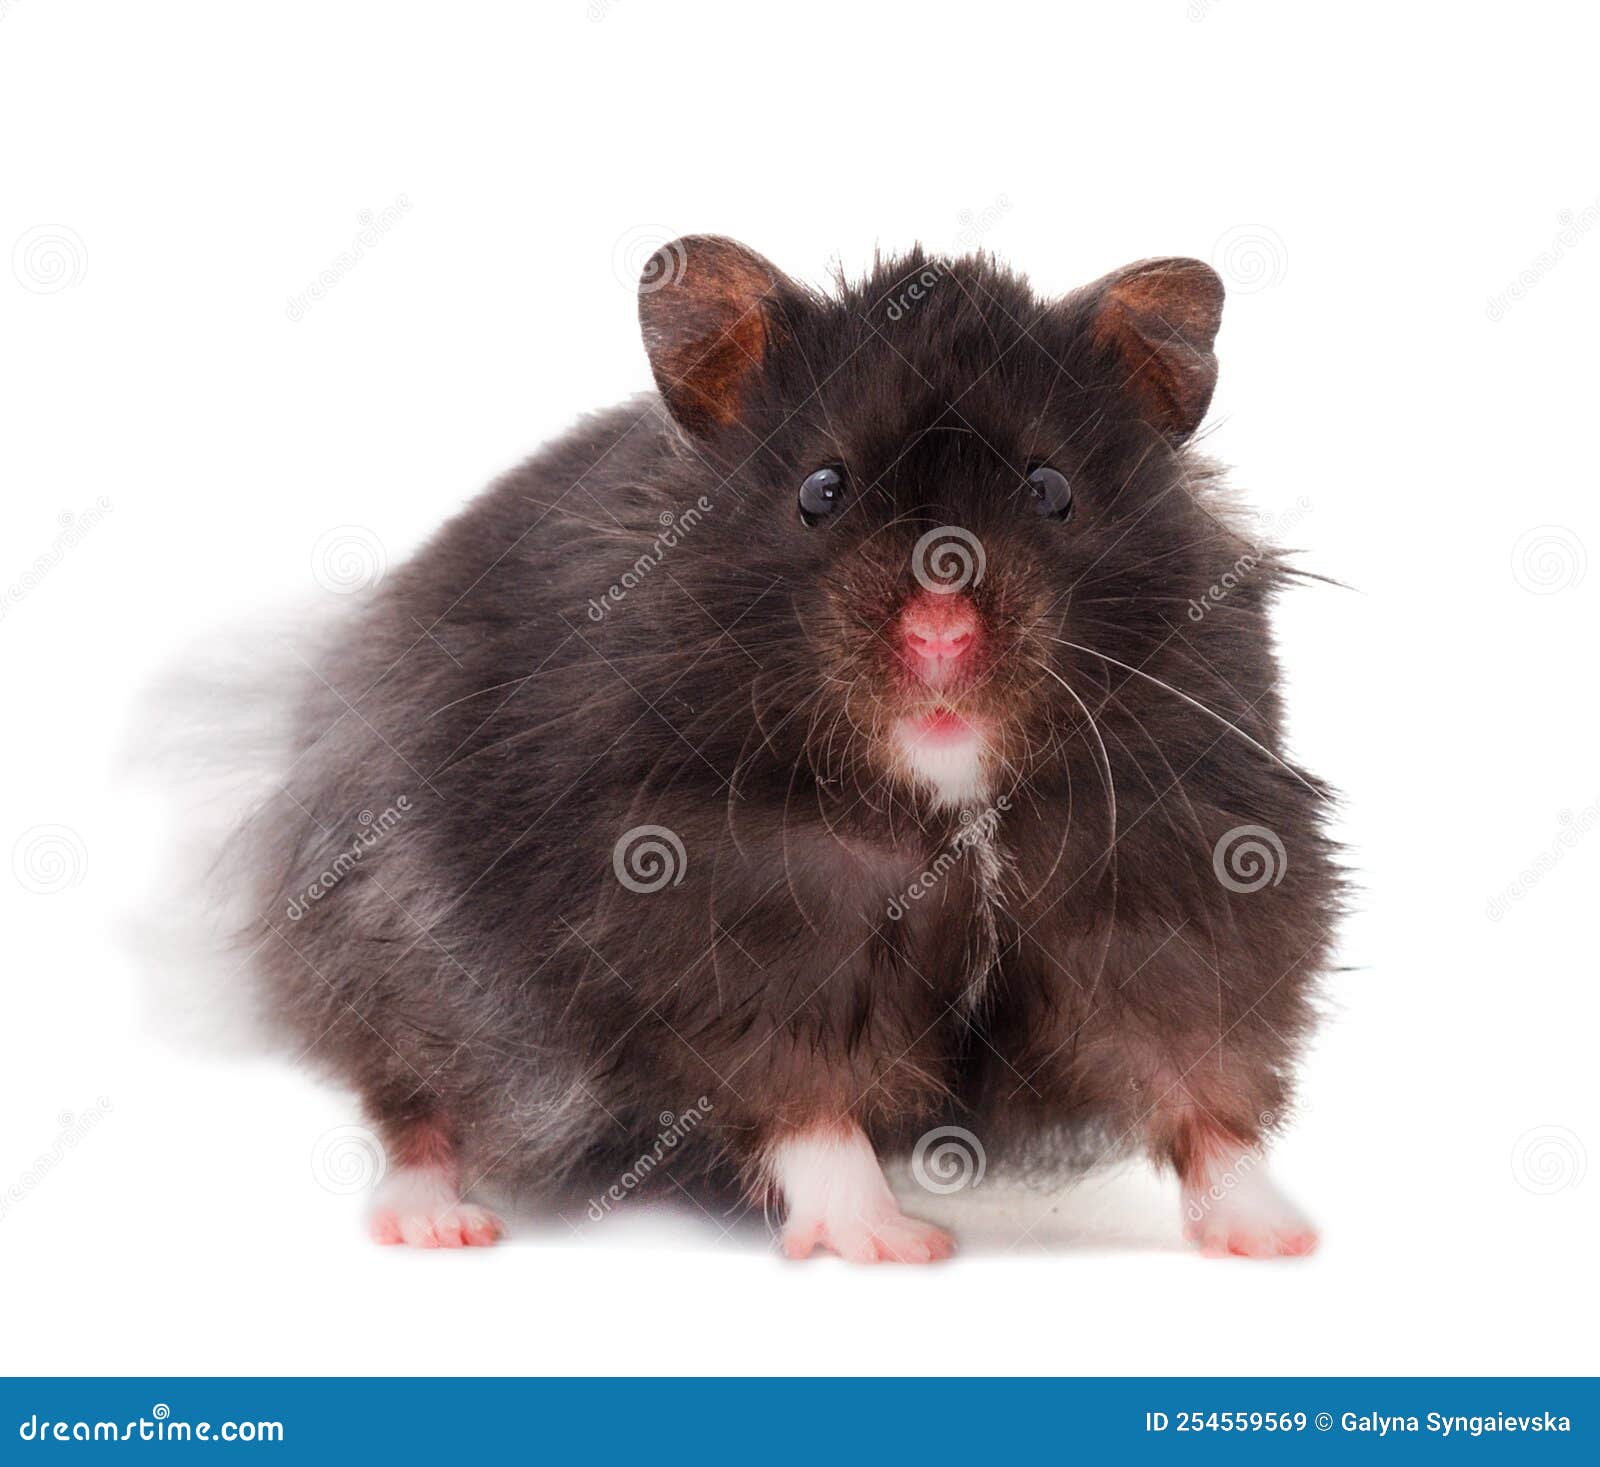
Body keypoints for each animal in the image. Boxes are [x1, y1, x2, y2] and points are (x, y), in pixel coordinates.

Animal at [243, 236, 1341, 1260]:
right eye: (820, 489)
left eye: (1050, 489)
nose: (940, 639)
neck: (949, 802)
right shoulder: (725, 907)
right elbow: (805, 1099)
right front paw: (892, 1243)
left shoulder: (1171, 871)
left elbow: (1195, 1075)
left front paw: (1279, 1239)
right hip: (396, 942)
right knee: (415, 1102)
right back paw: (439, 1223)